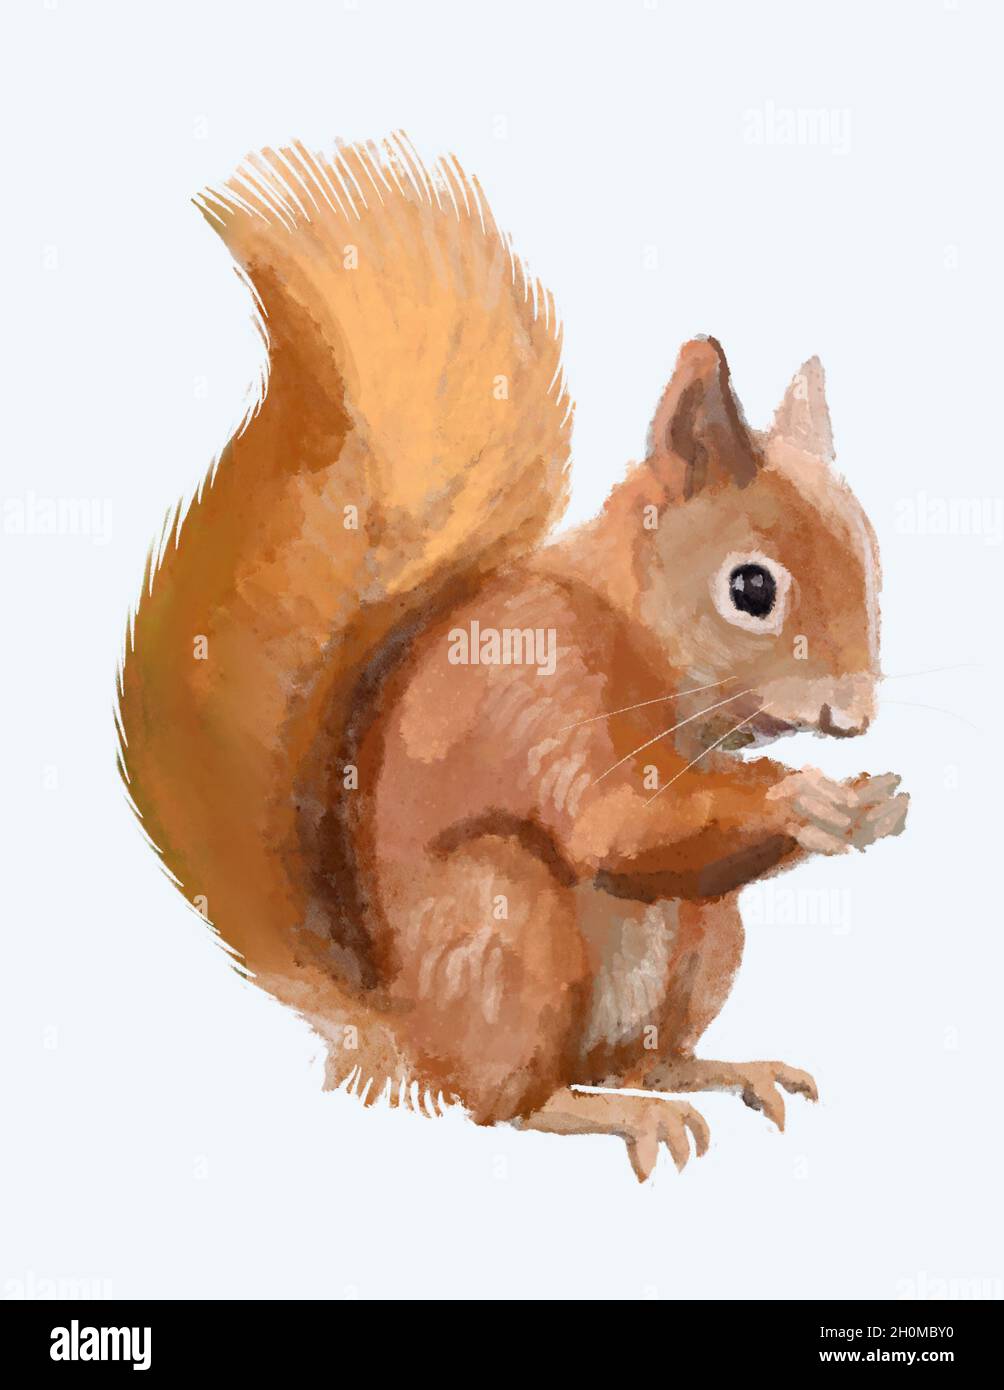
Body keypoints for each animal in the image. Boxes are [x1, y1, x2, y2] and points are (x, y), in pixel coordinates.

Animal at [118, 134, 909, 1180]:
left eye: (870, 559)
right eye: (751, 589)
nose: (853, 716)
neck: (630, 624)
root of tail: (406, 1029)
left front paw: (872, 808)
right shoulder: (550, 686)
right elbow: (616, 824)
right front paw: (803, 798)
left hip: (705, 939)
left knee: (644, 1054)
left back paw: (714, 1070)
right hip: (510, 926)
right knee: (507, 1102)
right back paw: (606, 1113)